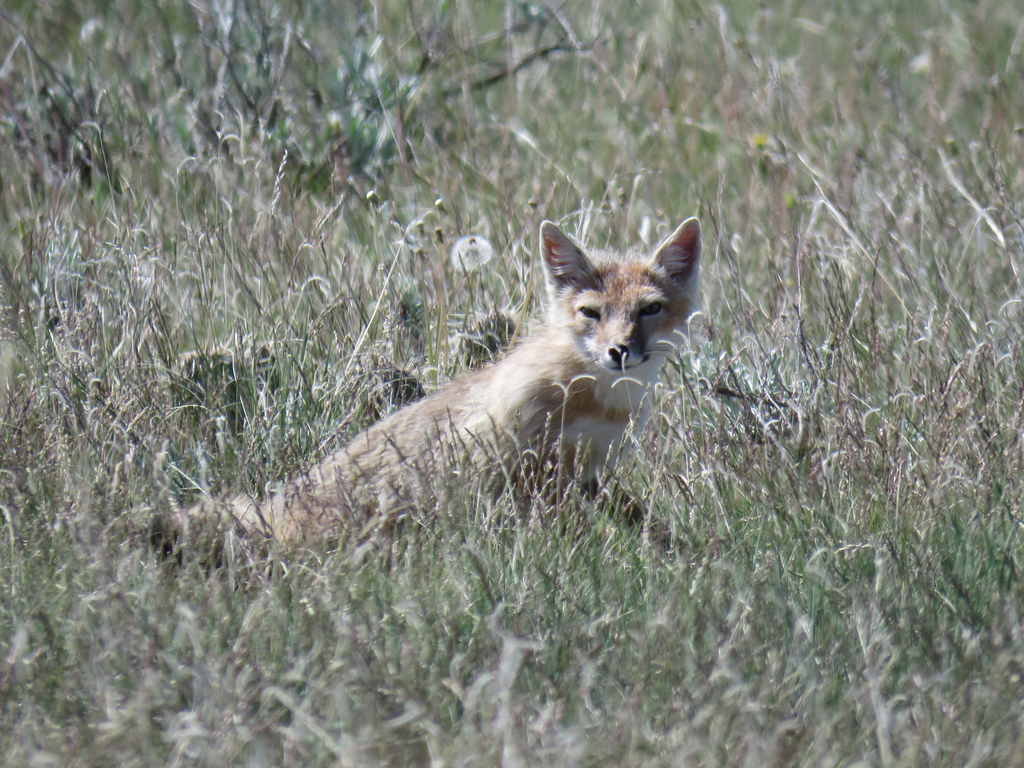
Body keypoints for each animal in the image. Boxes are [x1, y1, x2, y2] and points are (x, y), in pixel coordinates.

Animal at [180, 216, 702, 547]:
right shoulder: (511, 461)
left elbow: (639, 519)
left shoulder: (589, 472)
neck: (603, 400)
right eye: (591, 313)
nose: (619, 351)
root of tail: (271, 515)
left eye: (649, 309)